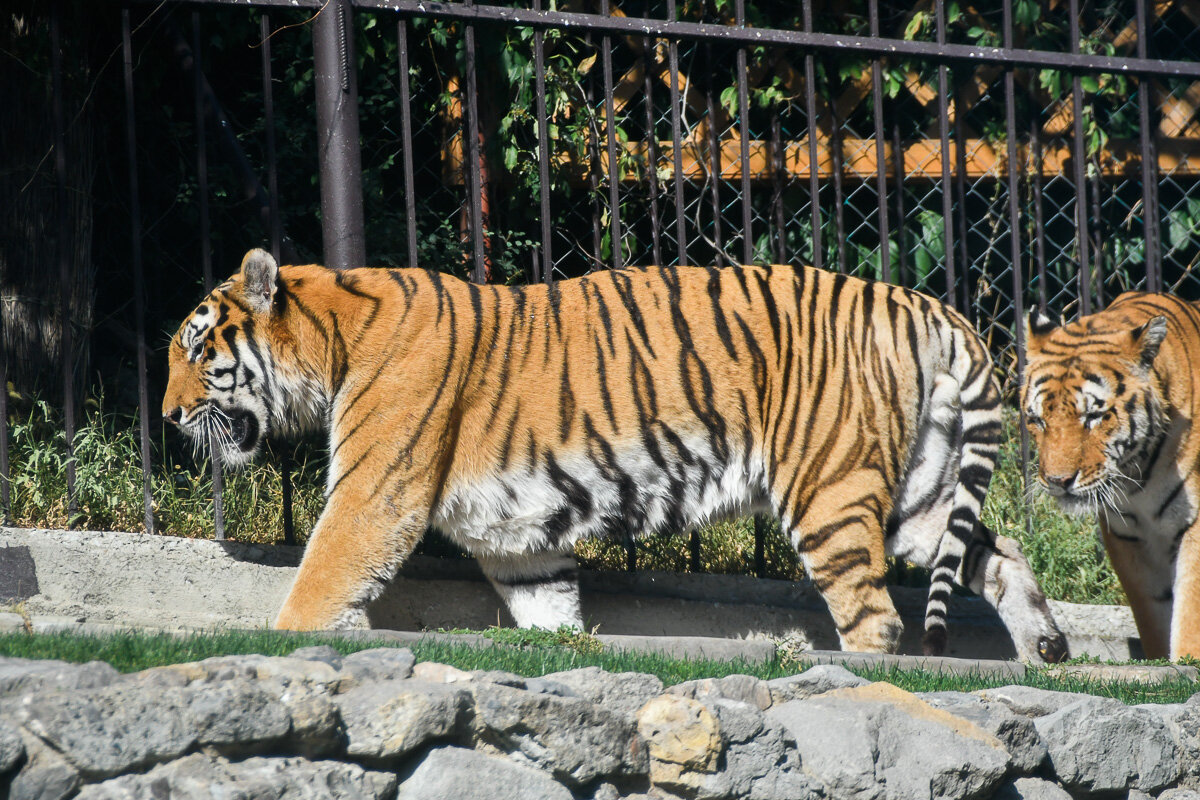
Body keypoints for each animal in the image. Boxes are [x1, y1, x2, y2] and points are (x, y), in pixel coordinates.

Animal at [162, 250, 1070, 662]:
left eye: (198, 349)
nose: (168, 416)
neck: (333, 338)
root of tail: (922, 303)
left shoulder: (374, 492)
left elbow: (321, 571)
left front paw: (289, 637)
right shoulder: (518, 540)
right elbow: (549, 609)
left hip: (830, 488)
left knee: (875, 618)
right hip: (919, 489)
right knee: (998, 553)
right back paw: (1045, 651)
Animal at [1022, 291, 1200, 662]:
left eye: (1094, 416)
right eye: (1038, 419)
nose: (1058, 481)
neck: (1140, 477)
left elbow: (1191, 608)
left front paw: (1188, 661)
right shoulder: (1125, 534)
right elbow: (1151, 610)